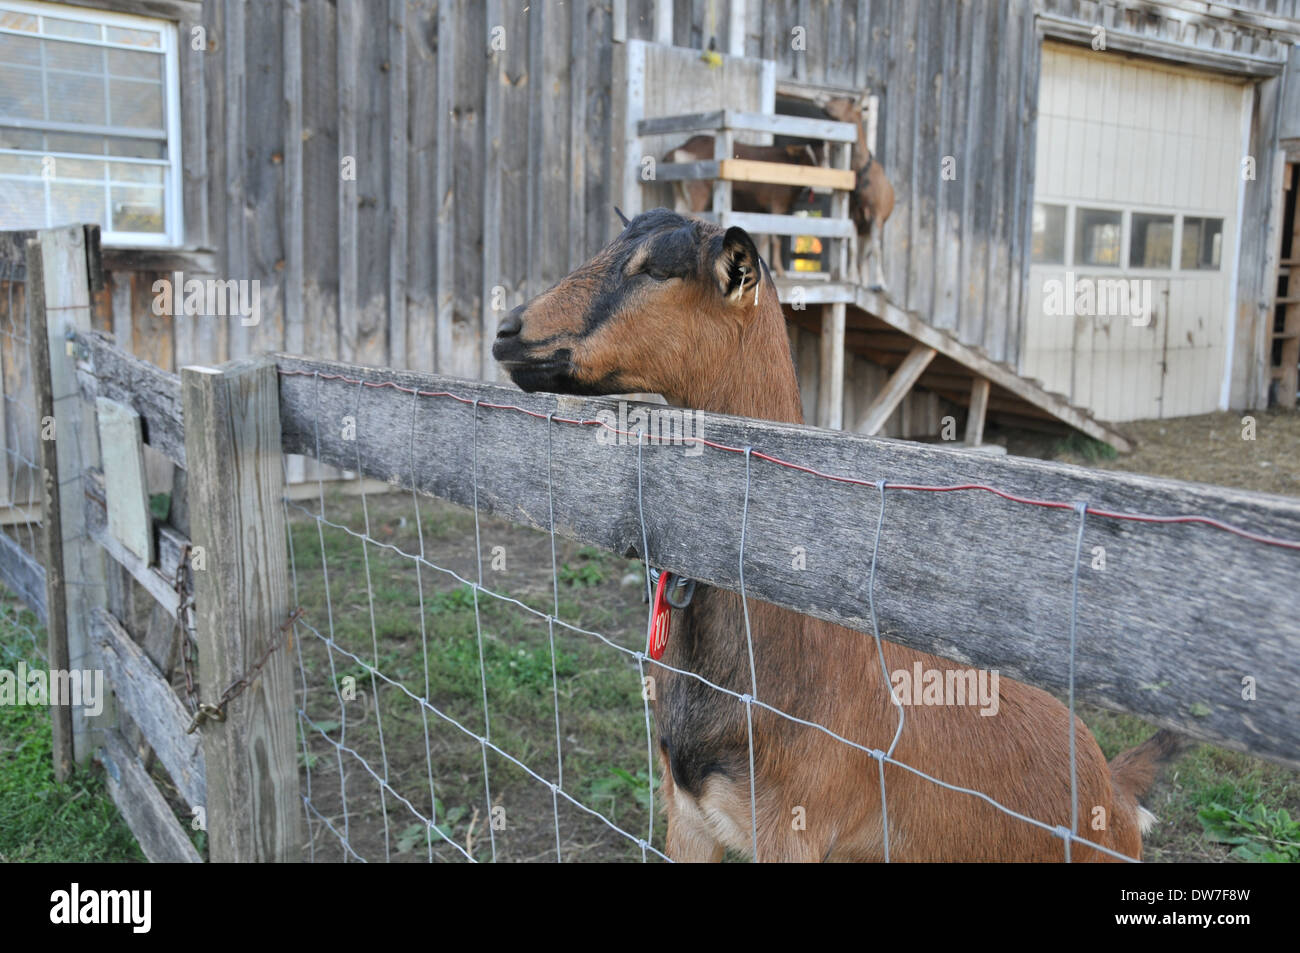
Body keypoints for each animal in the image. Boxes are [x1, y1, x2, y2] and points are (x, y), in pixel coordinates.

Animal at [823, 96, 895, 292]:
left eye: (842, 101)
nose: (822, 99)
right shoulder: (854, 216)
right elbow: (852, 248)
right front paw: (852, 278)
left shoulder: (876, 216)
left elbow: (877, 250)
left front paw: (881, 283)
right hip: (864, 230)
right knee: (862, 255)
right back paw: (861, 280)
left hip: (870, 230)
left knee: (868, 254)